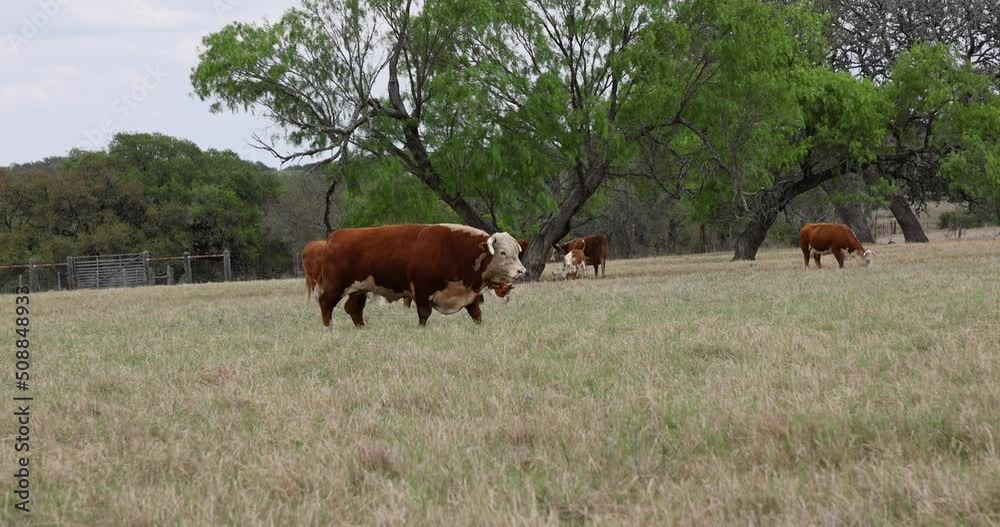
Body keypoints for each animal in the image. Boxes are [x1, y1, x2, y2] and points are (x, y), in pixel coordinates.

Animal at [306, 224, 525, 327]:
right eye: (502, 252)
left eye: (516, 252)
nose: (521, 271)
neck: (457, 250)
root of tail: (335, 237)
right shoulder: (421, 289)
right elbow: (424, 314)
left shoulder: (469, 293)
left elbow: (476, 314)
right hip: (335, 285)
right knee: (326, 304)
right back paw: (329, 328)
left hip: (360, 289)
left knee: (354, 309)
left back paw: (362, 328)